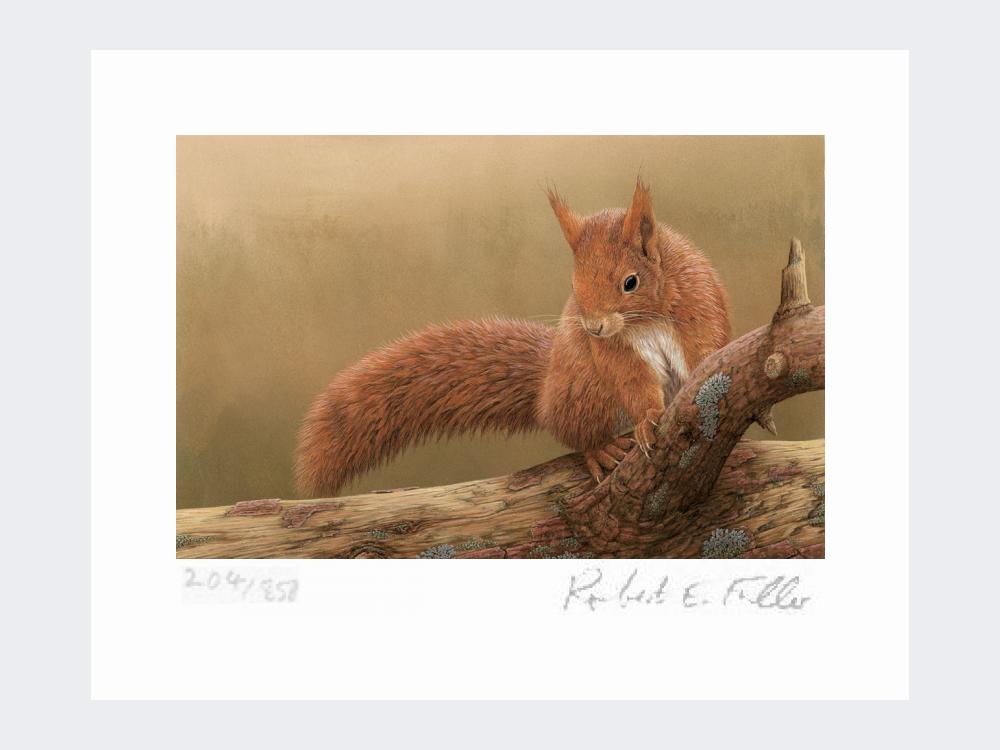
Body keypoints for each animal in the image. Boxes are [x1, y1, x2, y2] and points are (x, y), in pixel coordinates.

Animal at [294, 179, 731, 497]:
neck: (644, 320)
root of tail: (546, 393)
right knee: (577, 433)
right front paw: (647, 420)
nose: (593, 327)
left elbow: (706, 348)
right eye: (574, 286)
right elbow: (632, 380)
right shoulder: (613, 353)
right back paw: (602, 449)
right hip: (584, 390)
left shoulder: (697, 305)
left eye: (630, 282)